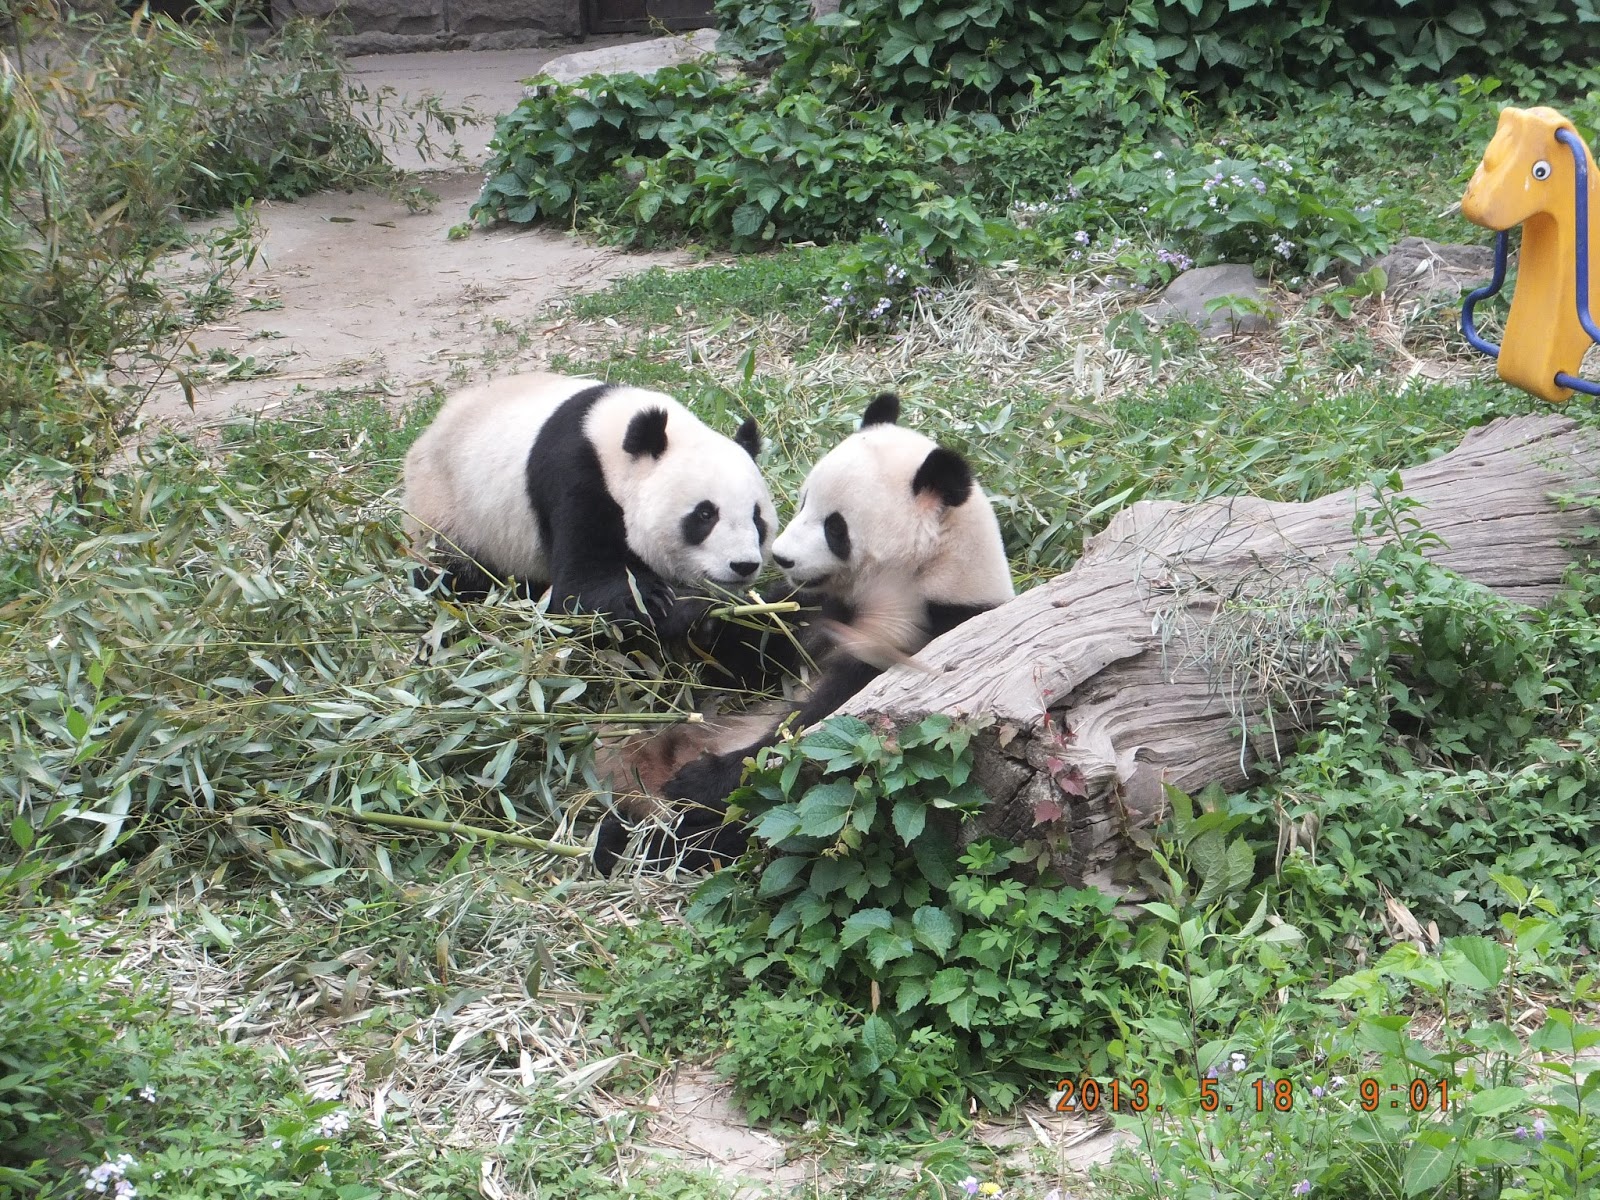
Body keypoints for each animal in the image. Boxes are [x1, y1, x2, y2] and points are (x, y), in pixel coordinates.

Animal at [402, 372, 778, 634]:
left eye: (757, 519)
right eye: (704, 514)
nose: (743, 565)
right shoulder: (574, 476)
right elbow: (580, 588)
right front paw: (656, 599)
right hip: (450, 512)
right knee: (451, 572)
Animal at [592, 391, 1015, 875]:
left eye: (835, 527)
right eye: (802, 500)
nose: (780, 557)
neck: (918, 578)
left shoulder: (926, 636)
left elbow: (828, 731)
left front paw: (700, 779)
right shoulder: (814, 611)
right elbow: (749, 656)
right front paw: (685, 612)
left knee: (726, 829)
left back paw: (644, 840)